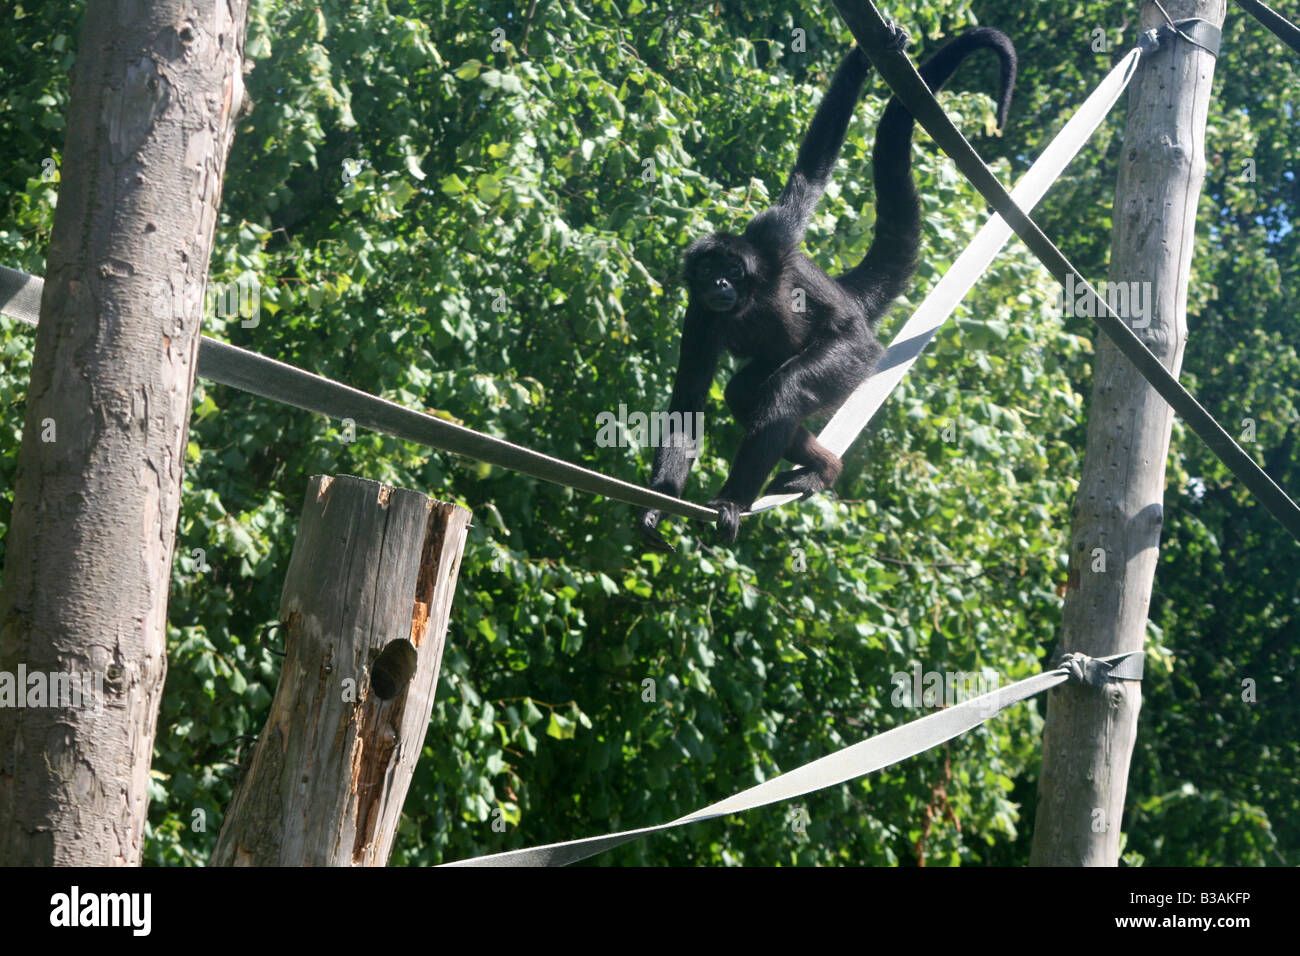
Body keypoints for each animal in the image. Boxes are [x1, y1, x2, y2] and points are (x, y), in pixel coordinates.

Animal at [637, 27, 1016, 550]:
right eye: (710, 270)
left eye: (731, 269)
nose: (720, 282)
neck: (749, 299)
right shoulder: (700, 316)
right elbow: (688, 404)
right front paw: (655, 508)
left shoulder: (769, 240)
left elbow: (812, 173)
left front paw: (862, 58)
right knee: (746, 393)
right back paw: (824, 468)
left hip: (854, 351)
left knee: (788, 389)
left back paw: (746, 496)